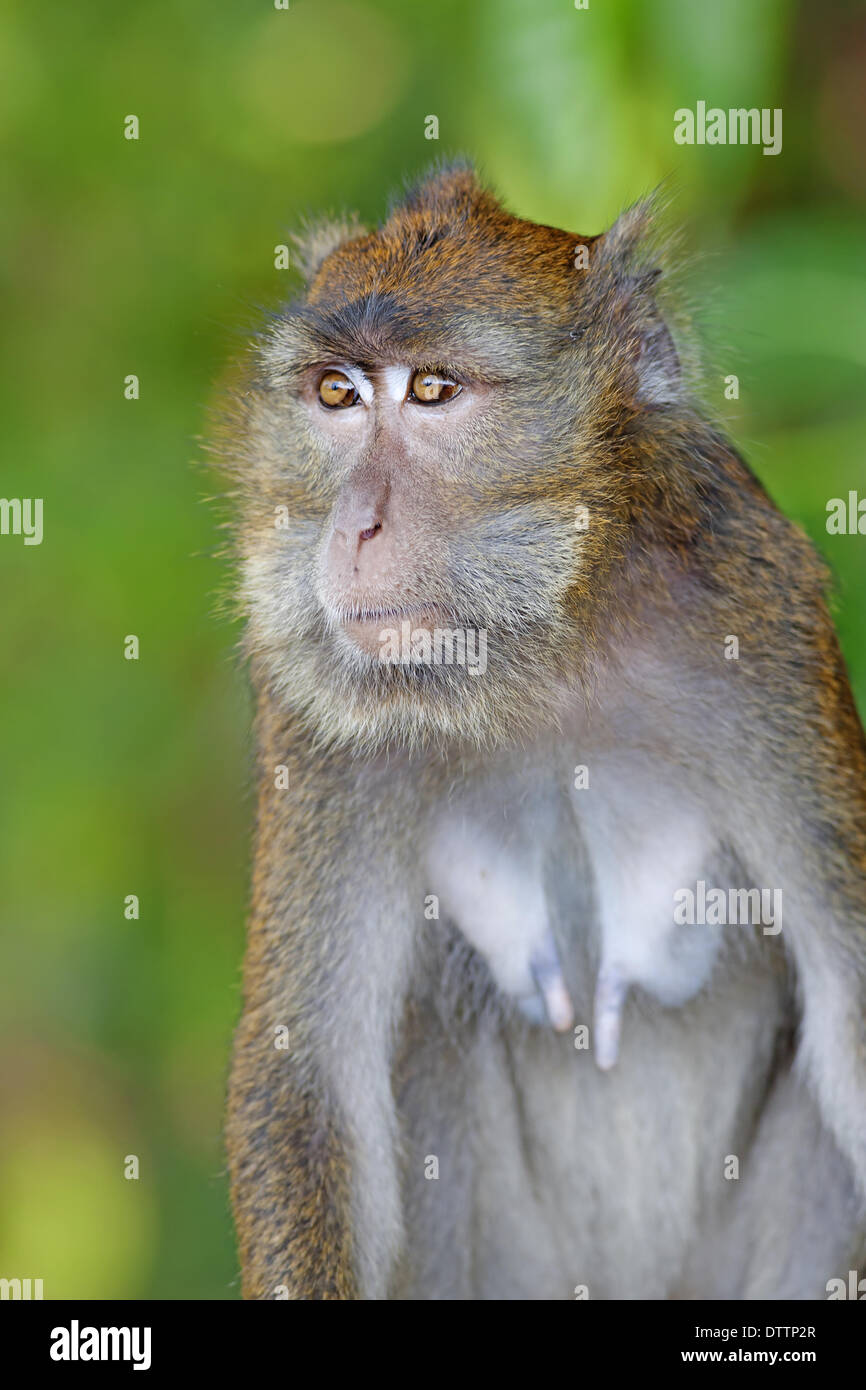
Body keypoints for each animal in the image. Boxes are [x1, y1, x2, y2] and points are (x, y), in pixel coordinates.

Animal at [218, 162, 866, 1300]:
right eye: (336, 394)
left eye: (433, 391)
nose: (353, 527)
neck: (546, 648)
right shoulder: (313, 716)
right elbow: (310, 1080)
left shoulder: (762, 624)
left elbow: (854, 1012)